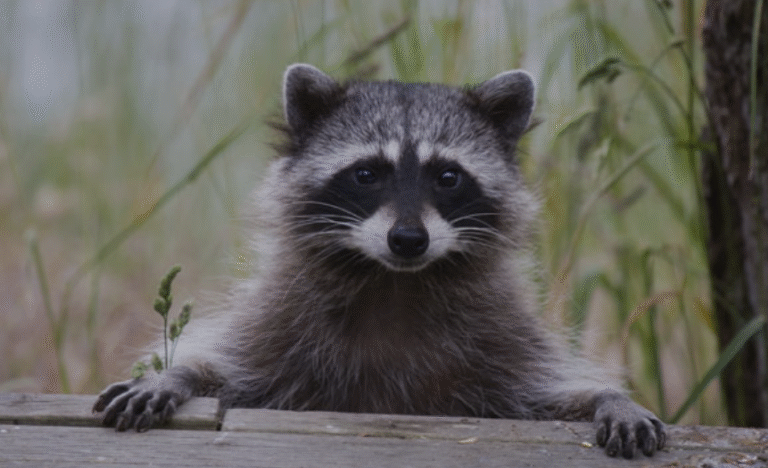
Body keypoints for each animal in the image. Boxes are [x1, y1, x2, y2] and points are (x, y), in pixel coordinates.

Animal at [93, 64, 666, 459]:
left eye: (448, 176)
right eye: (366, 174)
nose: (408, 239)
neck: (394, 282)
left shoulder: (500, 340)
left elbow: (544, 394)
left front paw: (607, 396)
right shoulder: (282, 324)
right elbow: (232, 368)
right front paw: (177, 374)